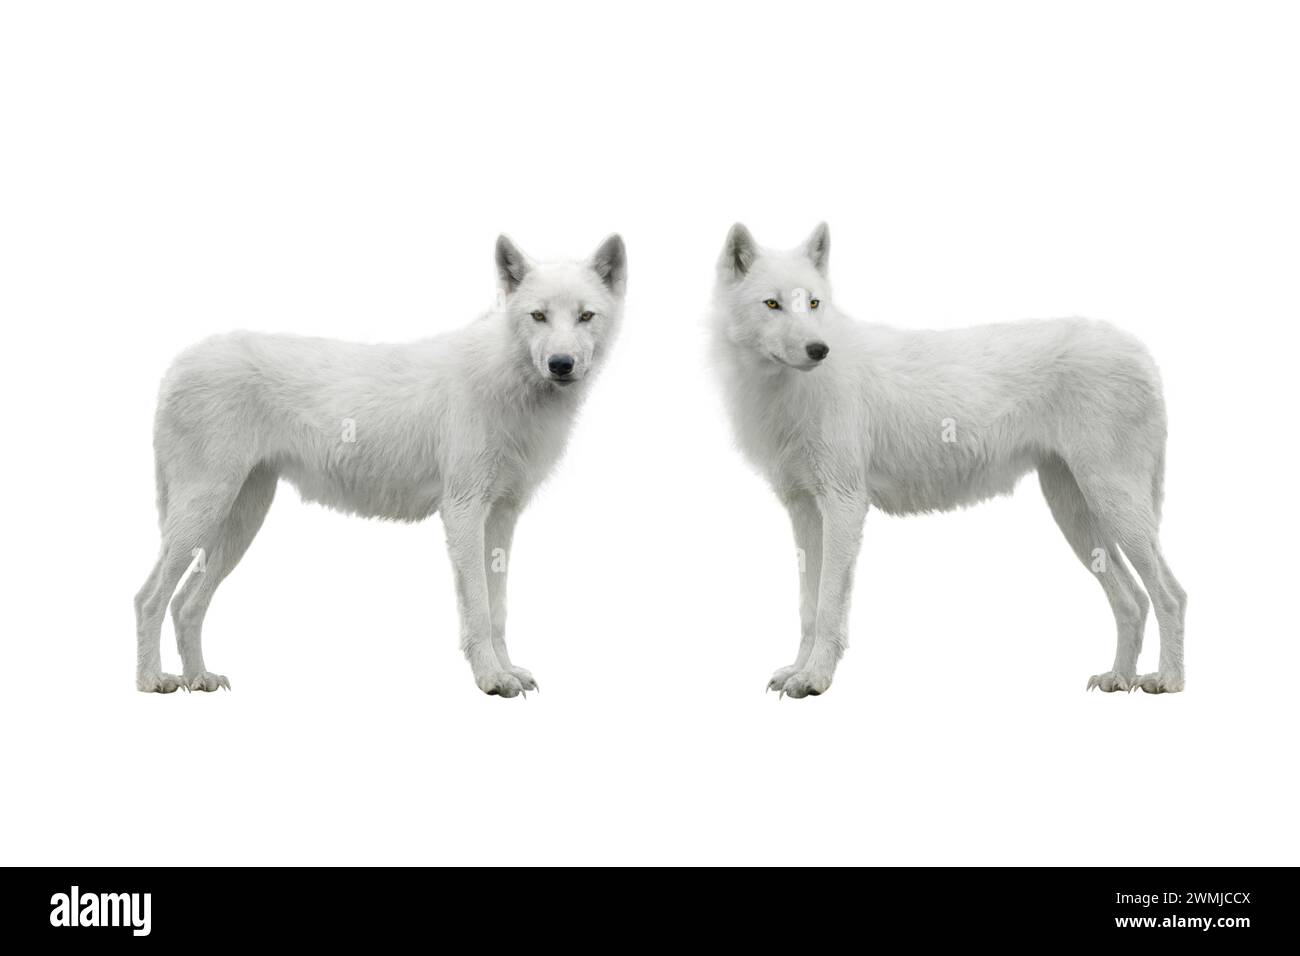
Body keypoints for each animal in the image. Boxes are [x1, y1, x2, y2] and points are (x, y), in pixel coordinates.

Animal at [134, 233, 627, 696]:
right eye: (538, 316)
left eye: (585, 316)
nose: (560, 364)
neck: (509, 382)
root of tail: (177, 365)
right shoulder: (463, 511)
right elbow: (479, 609)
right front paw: (491, 679)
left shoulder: (503, 516)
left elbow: (498, 609)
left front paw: (508, 672)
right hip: (204, 514)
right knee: (149, 598)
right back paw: (153, 680)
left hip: (240, 522)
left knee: (186, 604)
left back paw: (199, 678)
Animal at [711, 223, 1185, 698]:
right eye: (772, 304)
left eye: (813, 303)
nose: (818, 349)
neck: (785, 391)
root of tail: (1141, 352)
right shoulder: (804, 510)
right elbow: (809, 607)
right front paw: (797, 671)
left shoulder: (845, 505)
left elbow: (828, 607)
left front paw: (815, 679)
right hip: (1076, 516)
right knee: (1132, 600)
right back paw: (1118, 677)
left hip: (1113, 505)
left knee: (1171, 594)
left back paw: (1168, 680)